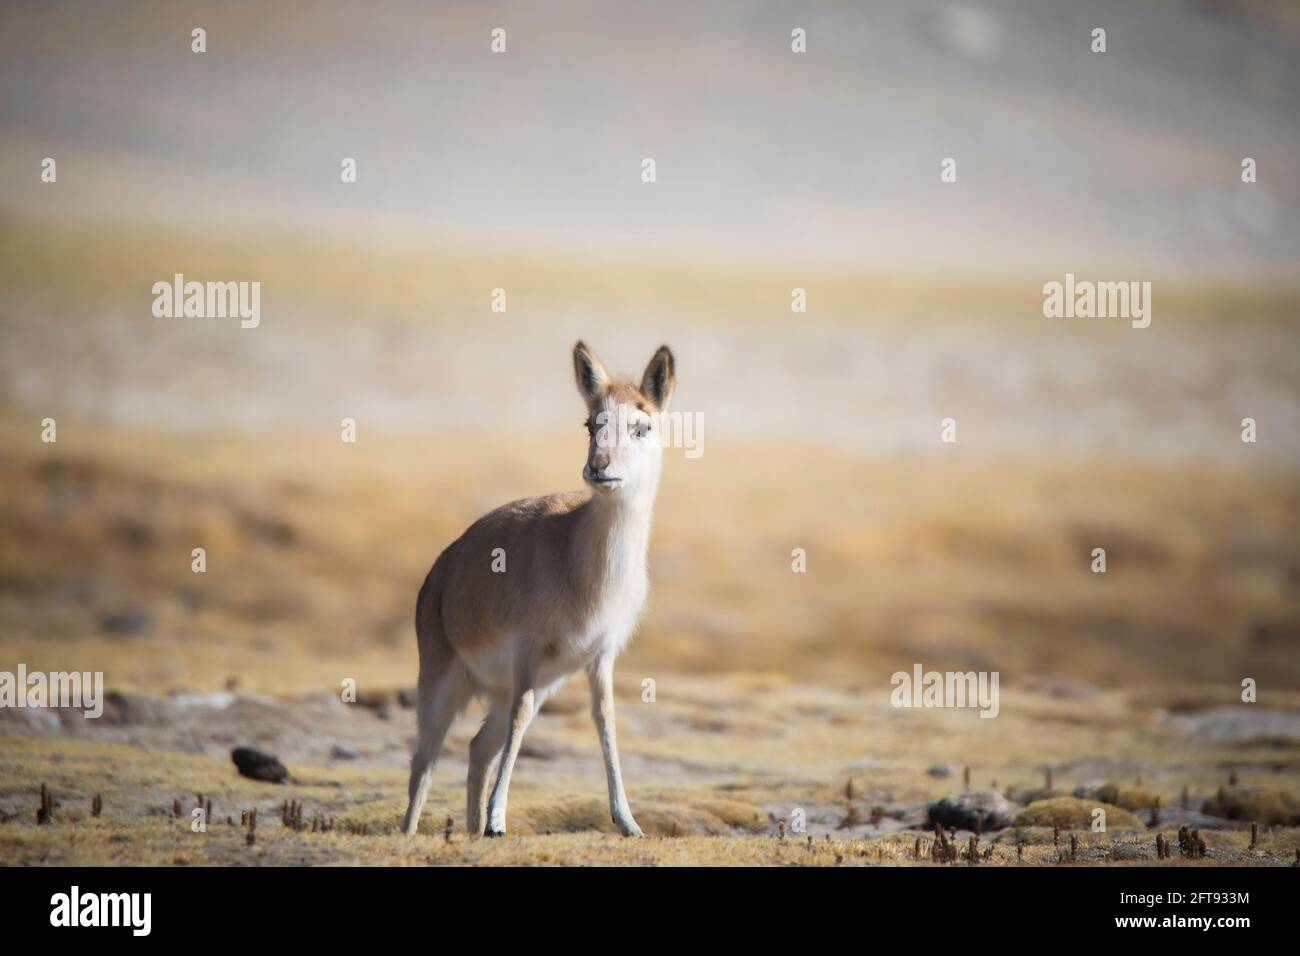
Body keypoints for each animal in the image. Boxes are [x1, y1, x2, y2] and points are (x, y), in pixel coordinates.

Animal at [401, 341, 676, 838]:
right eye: (591, 422)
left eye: (641, 425)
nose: (598, 468)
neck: (582, 564)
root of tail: (440, 570)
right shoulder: (528, 650)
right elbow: (523, 715)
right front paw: (498, 817)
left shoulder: (601, 655)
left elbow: (605, 720)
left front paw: (628, 822)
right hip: (442, 683)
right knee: (424, 761)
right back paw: (418, 832)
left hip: (516, 686)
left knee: (476, 748)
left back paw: (473, 831)